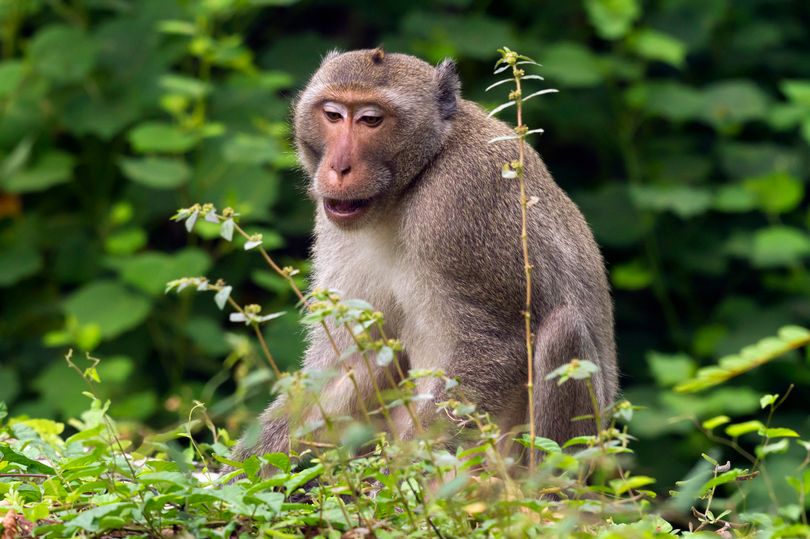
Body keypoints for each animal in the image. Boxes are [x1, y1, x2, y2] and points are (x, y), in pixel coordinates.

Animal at [232, 48, 618, 468]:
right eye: (332, 114)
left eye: (371, 120)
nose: (338, 168)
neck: (415, 178)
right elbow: (346, 361)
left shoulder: (462, 202)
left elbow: (500, 344)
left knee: (564, 329)